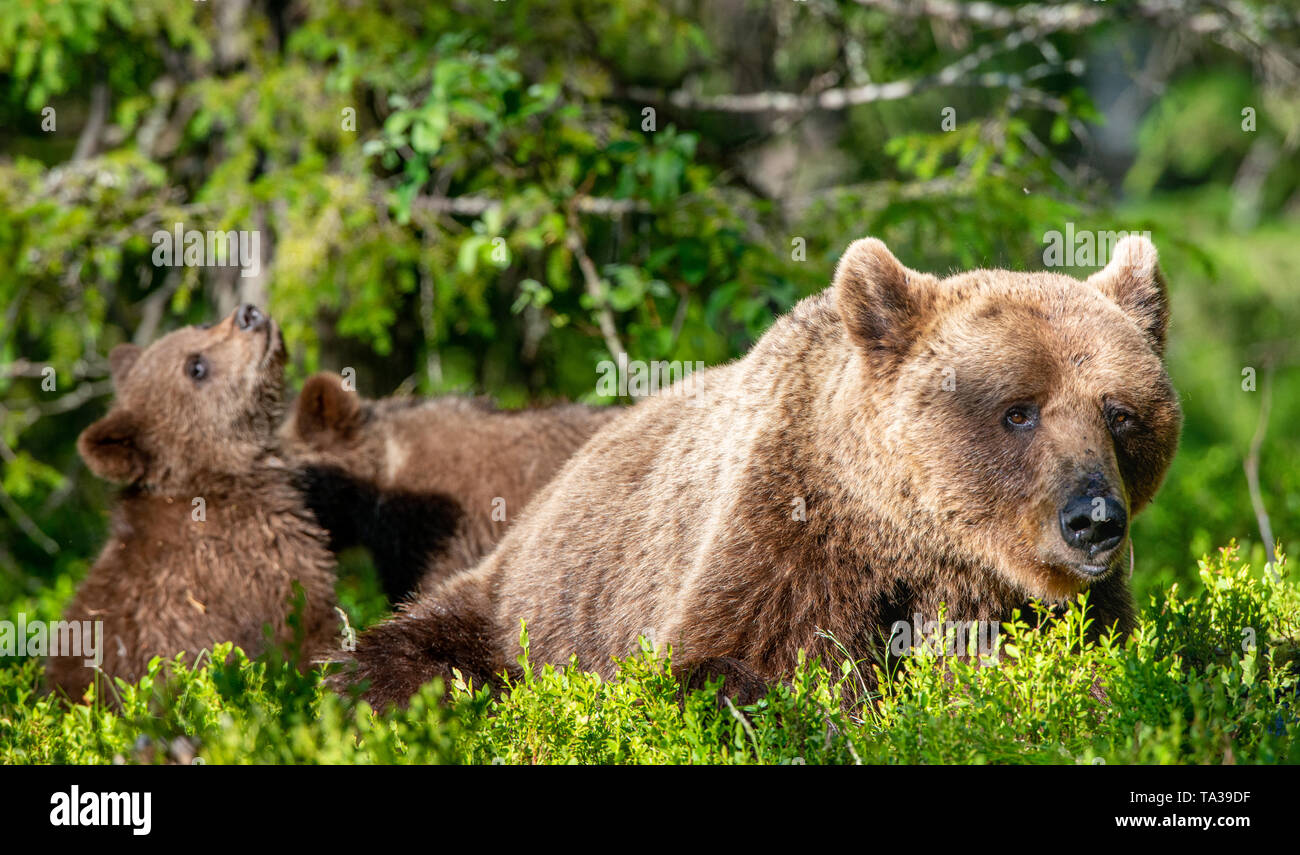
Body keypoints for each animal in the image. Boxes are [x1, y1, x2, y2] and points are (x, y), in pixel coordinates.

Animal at [337, 235, 1182, 709]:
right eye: (1019, 409)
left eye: (1120, 412)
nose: (1094, 520)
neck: (924, 544)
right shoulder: (789, 538)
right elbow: (731, 665)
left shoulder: (1048, 607)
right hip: (524, 607)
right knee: (401, 655)